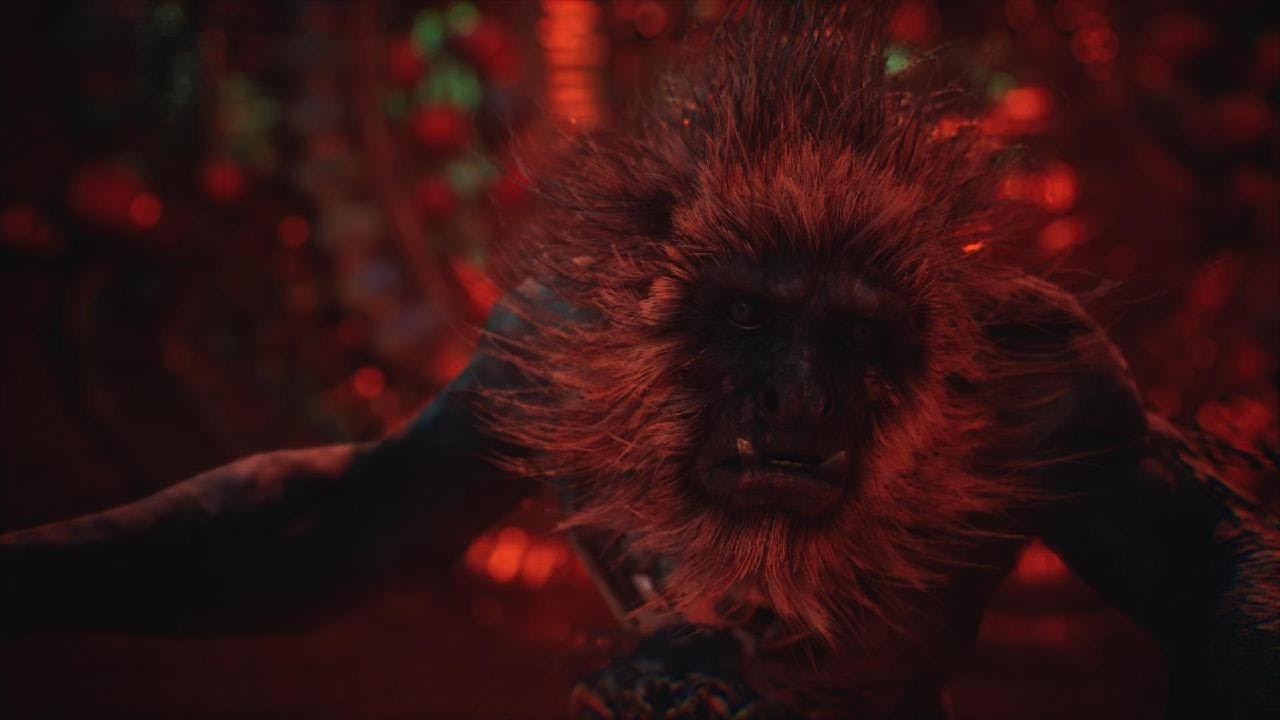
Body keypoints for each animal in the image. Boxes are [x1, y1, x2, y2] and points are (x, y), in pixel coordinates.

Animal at [1, 4, 1276, 719]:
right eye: (747, 317)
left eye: (858, 337)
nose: (795, 394)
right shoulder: (527, 339)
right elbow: (358, 516)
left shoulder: (1068, 395)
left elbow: (1204, 553)